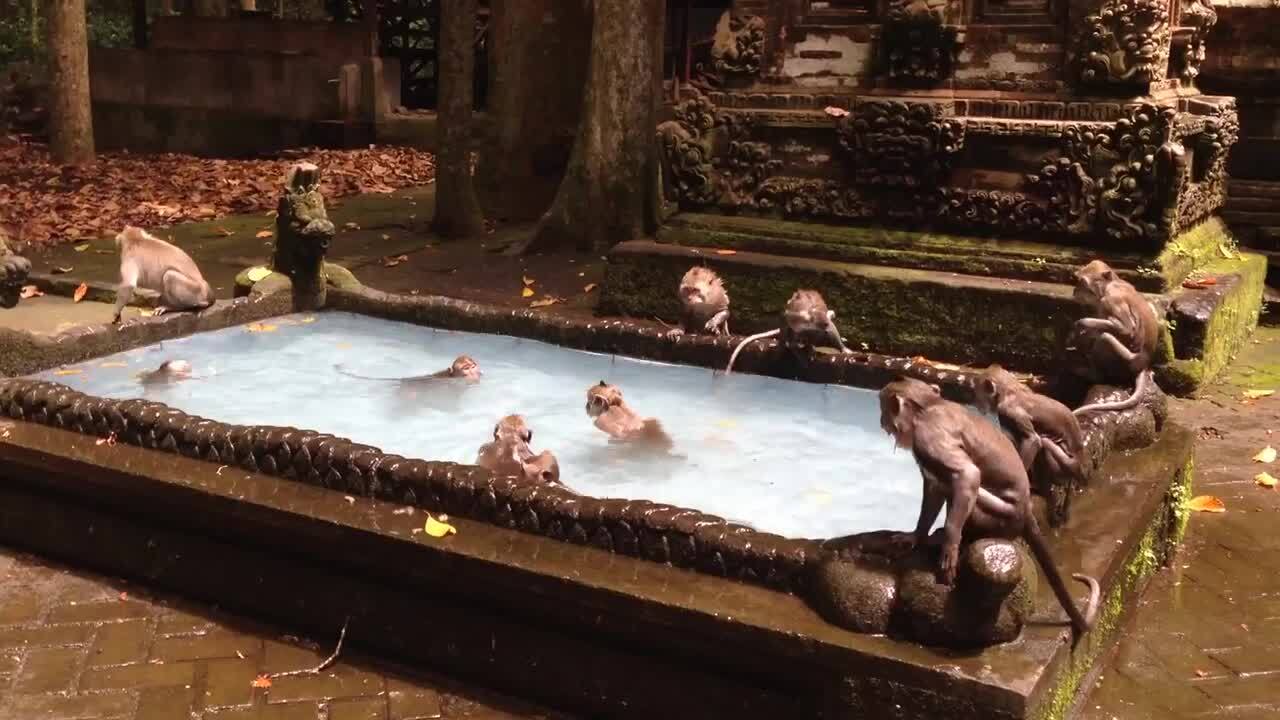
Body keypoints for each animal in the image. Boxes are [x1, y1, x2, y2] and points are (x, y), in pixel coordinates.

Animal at [879, 377, 1100, 637]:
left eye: (884, 409)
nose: (882, 421)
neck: (929, 407)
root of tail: (1026, 512)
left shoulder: (927, 437)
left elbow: (967, 475)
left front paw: (949, 546)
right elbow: (934, 487)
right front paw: (915, 536)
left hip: (1000, 517)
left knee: (966, 486)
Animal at [1066, 260, 1159, 416]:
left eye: (1082, 282)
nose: (1074, 291)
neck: (1110, 284)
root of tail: (1142, 365)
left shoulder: (1110, 300)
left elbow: (1126, 329)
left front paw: (1080, 325)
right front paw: (1079, 336)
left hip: (1126, 362)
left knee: (1104, 338)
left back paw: (1094, 374)